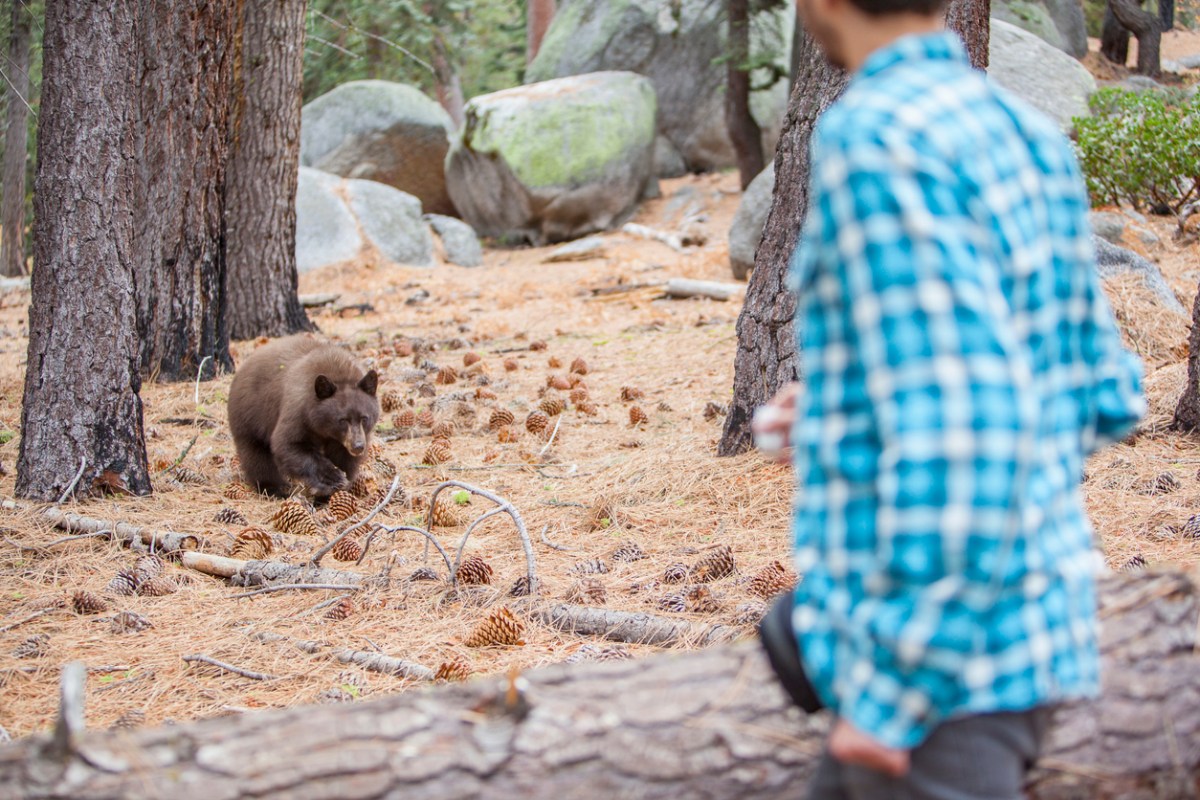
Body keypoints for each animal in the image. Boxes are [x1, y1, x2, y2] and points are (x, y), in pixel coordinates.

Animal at [227, 335, 380, 498]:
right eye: (342, 420)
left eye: (364, 418)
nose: (358, 446)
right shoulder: (299, 412)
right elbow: (288, 444)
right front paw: (331, 478)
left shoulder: (345, 439)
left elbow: (344, 458)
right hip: (250, 415)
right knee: (257, 456)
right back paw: (275, 488)